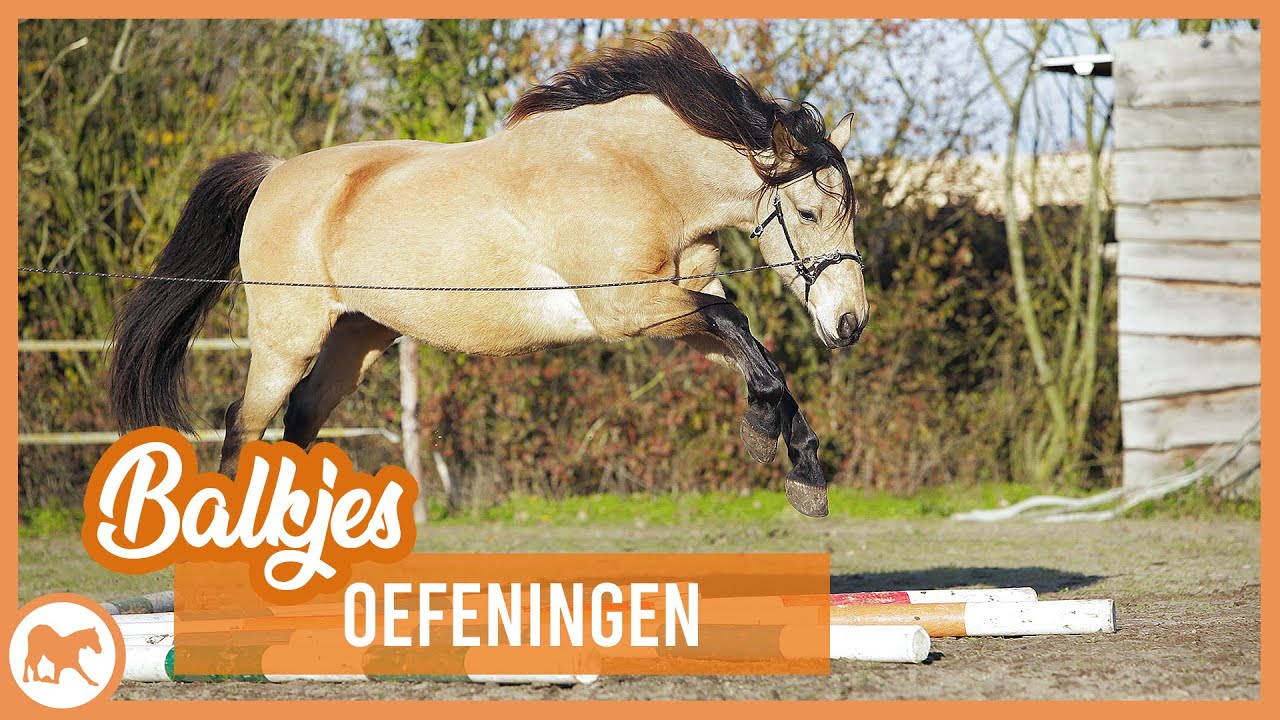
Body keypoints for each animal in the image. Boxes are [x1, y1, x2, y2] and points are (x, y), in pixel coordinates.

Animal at [108, 32, 869, 518]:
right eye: (807, 211)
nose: (849, 323)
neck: (637, 172)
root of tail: (275, 174)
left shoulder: (675, 309)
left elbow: (756, 355)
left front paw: (804, 471)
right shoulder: (628, 311)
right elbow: (742, 329)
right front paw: (766, 438)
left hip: (357, 337)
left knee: (298, 421)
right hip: (286, 340)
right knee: (244, 425)